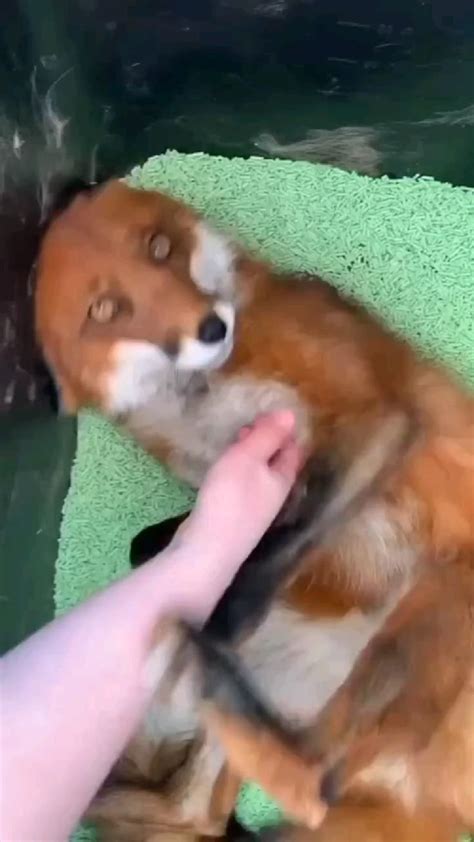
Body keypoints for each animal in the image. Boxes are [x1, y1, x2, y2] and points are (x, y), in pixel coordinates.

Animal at [34, 179, 474, 842]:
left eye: (158, 248)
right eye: (107, 310)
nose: (212, 327)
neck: (202, 397)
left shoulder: (375, 422)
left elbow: (276, 545)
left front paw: (227, 611)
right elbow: (197, 537)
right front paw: (169, 551)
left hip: (438, 604)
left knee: (312, 782)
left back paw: (203, 660)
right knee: (203, 813)